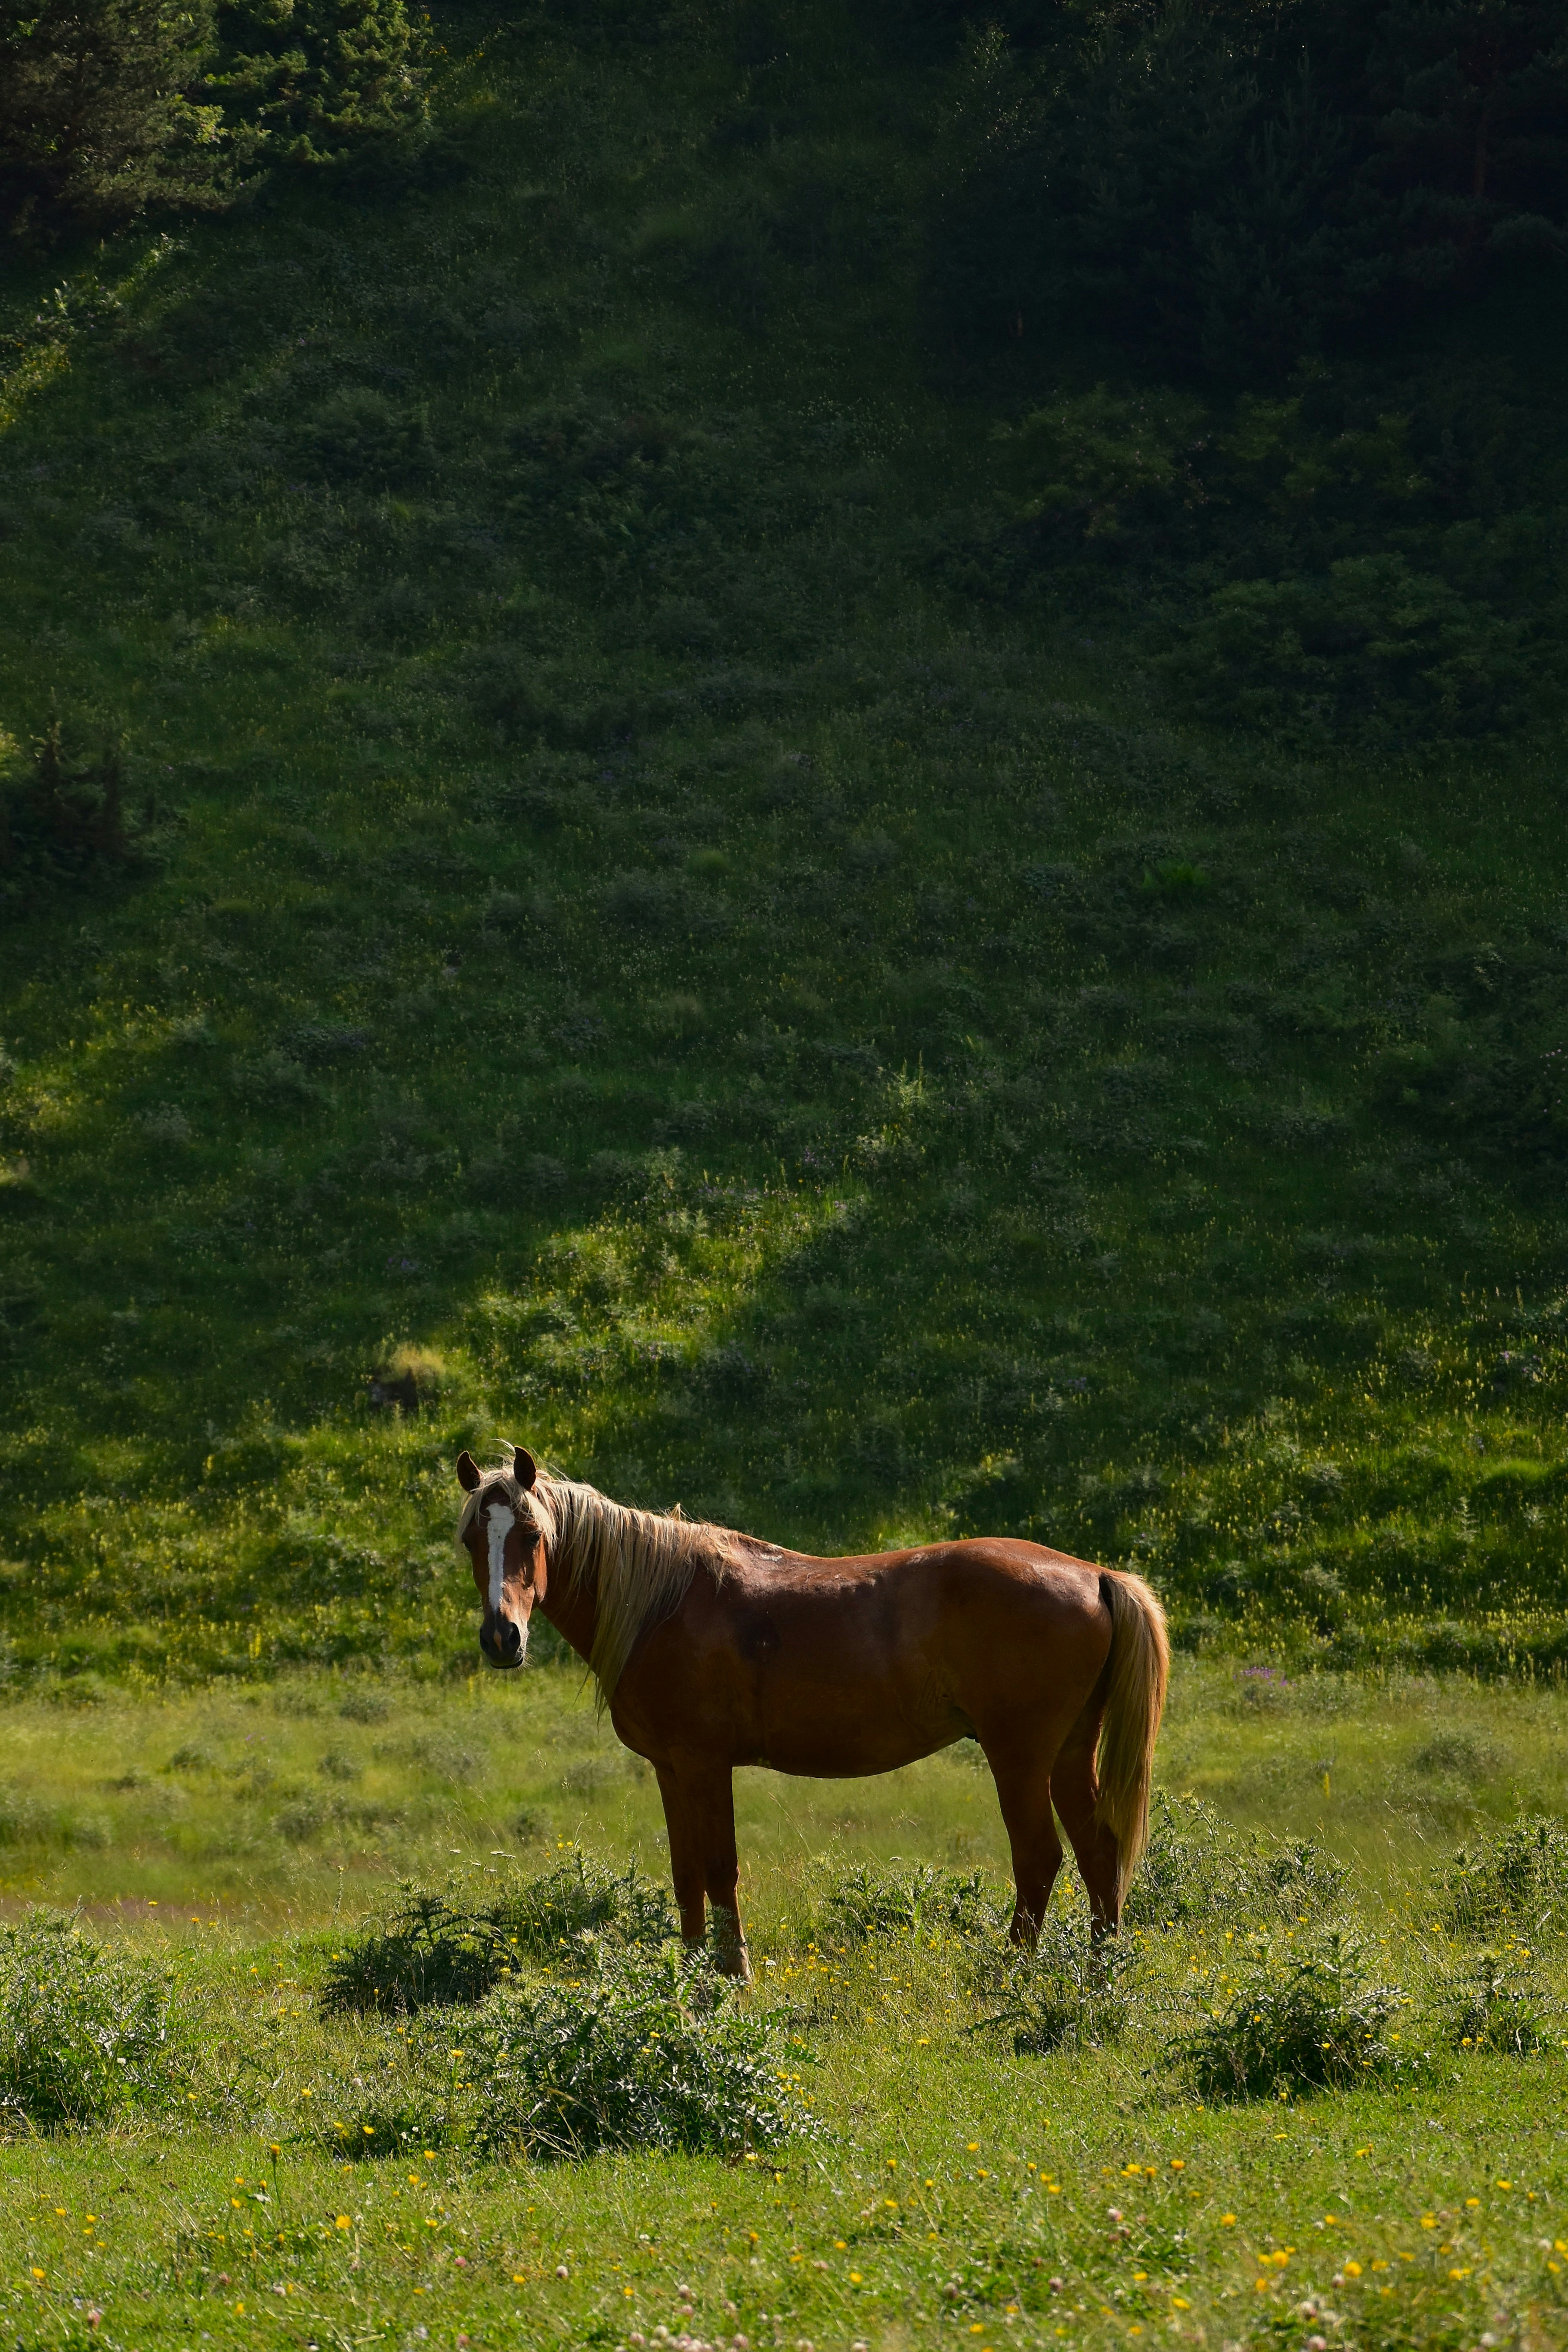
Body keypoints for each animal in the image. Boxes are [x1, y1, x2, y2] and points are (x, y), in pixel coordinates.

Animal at [456, 1446, 1168, 1979]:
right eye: (470, 1540)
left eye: (531, 1535)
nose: (501, 1639)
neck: (662, 1605)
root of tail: (1095, 1575)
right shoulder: (671, 1769)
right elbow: (687, 1873)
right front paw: (690, 1980)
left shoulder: (704, 1765)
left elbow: (719, 1870)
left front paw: (732, 1978)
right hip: (1069, 1754)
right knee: (1098, 1852)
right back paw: (1100, 1973)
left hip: (1017, 1757)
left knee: (1039, 1857)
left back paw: (1008, 1972)